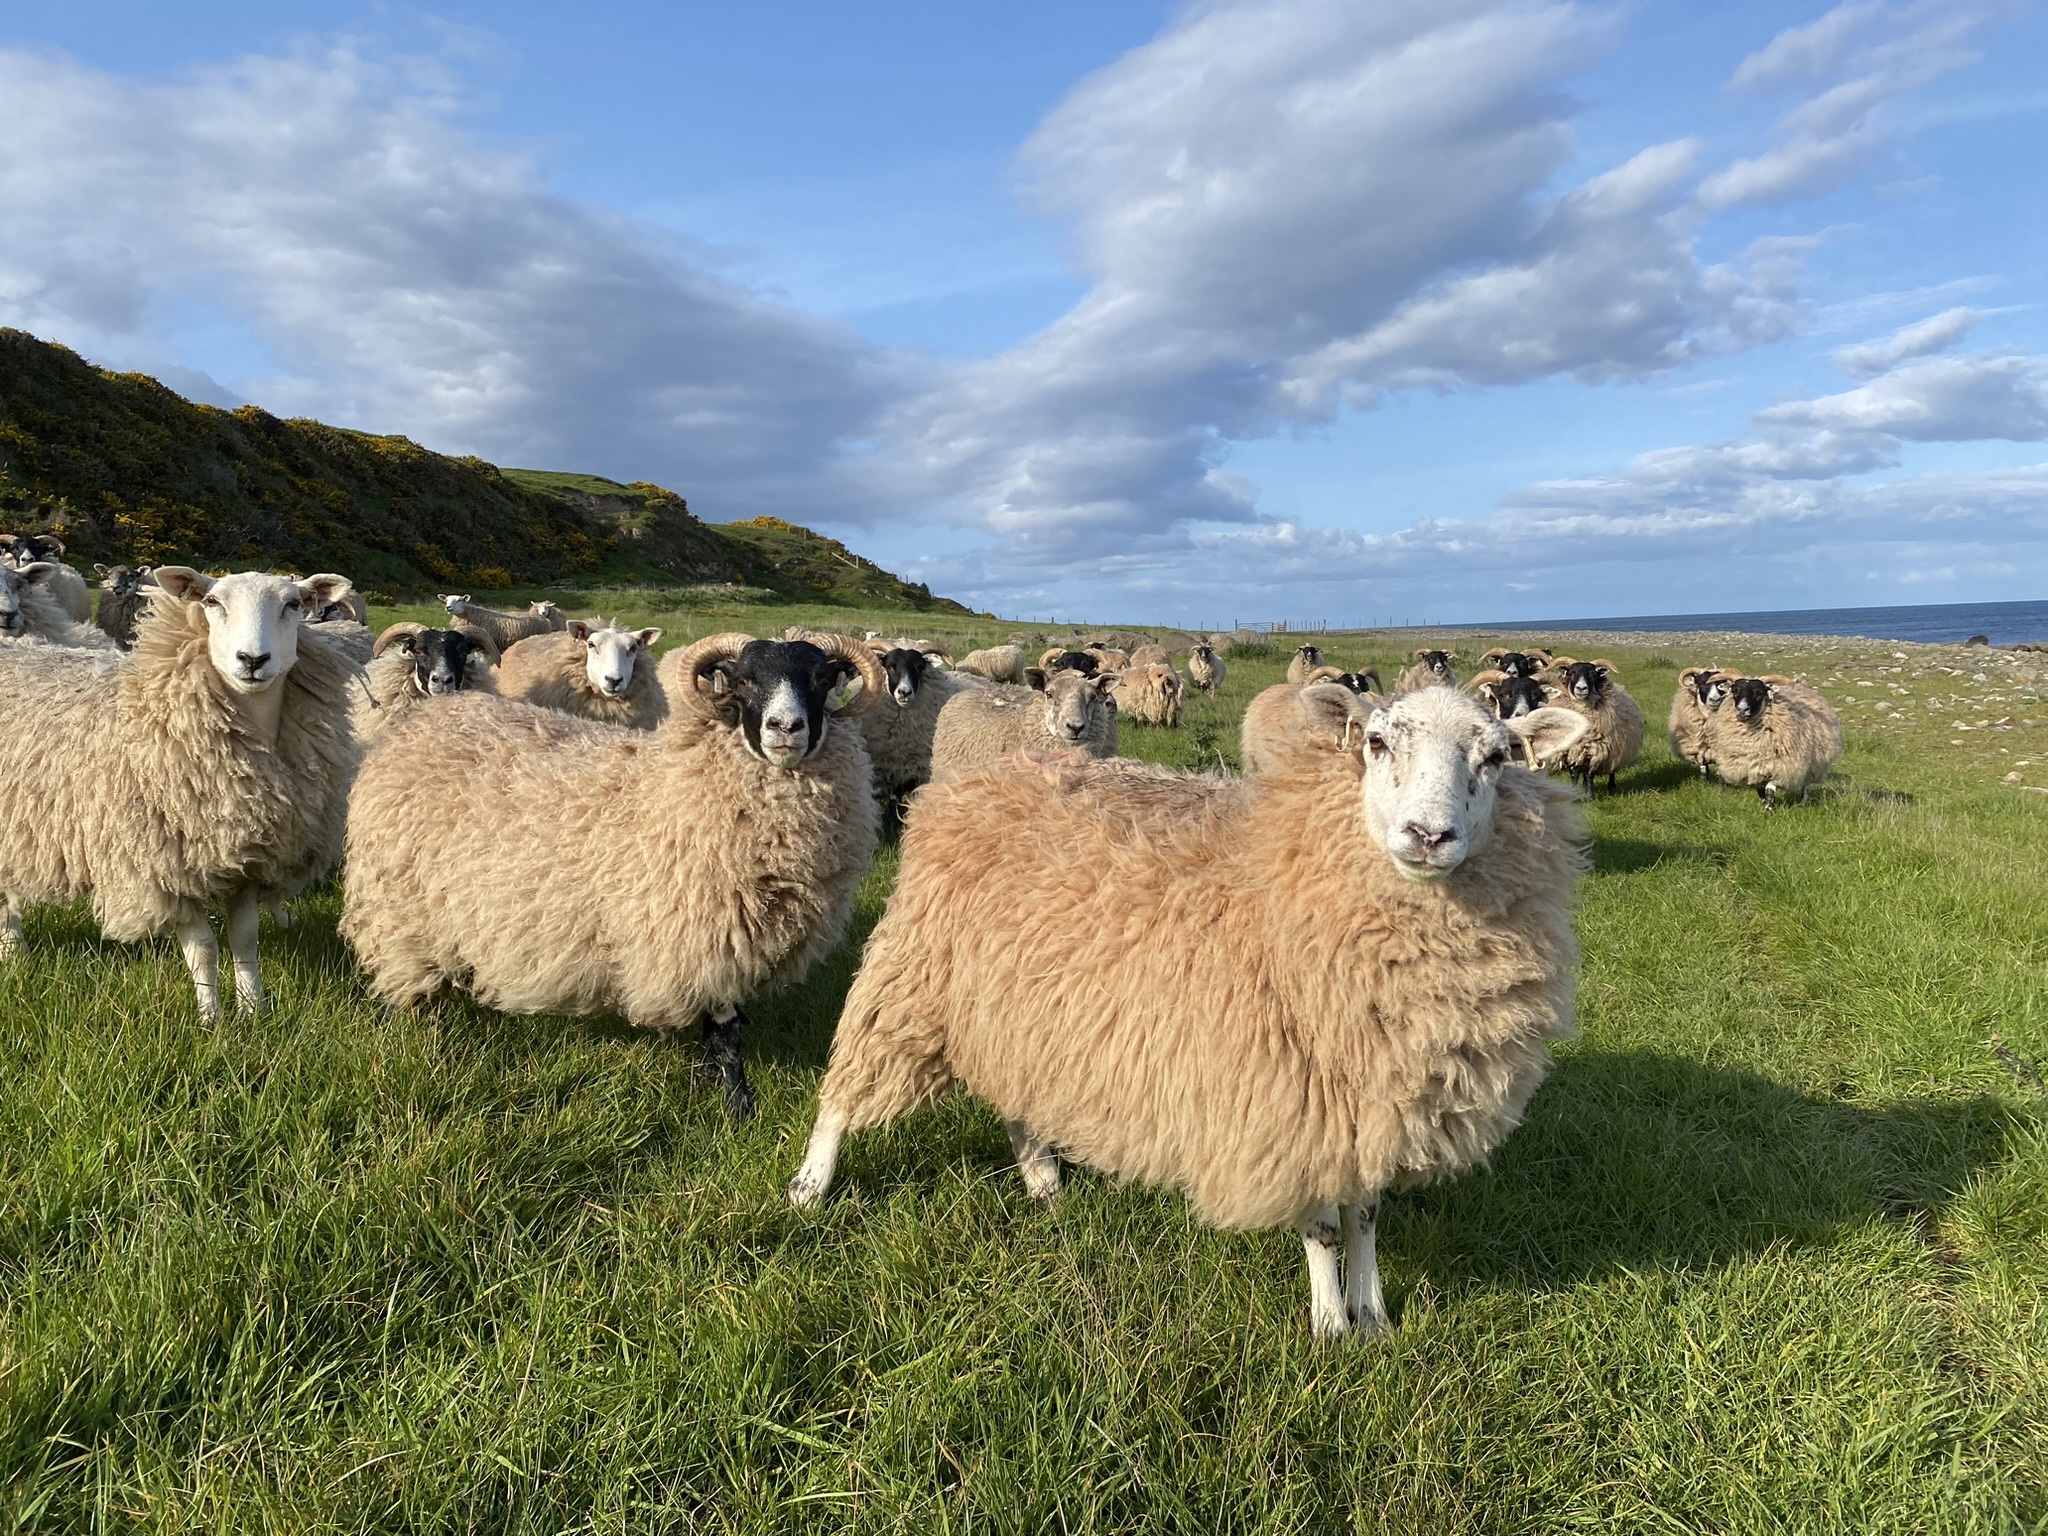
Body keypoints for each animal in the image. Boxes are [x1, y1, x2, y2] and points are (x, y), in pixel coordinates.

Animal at [0, 569, 359, 1017]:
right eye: (212, 603)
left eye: (293, 604)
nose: (252, 660)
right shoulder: (167, 867)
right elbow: (204, 948)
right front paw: (212, 1018)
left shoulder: (250, 860)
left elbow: (245, 940)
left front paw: (253, 1009)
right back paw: (13, 951)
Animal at [787, 687, 1592, 1339]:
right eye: (1375, 742)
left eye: (1497, 756)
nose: (1428, 837)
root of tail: (970, 782)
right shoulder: (1289, 1093)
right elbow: (1324, 1229)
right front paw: (1331, 1328)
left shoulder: (1369, 1093)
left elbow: (1364, 1214)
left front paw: (1375, 1319)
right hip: (916, 972)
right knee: (847, 1083)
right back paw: (809, 1186)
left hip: (1019, 998)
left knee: (1016, 1083)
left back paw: (1041, 1176)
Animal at [1533, 660, 1644, 793]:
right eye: (1571, 673)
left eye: (1593, 675)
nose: (1581, 688)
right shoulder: (1570, 751)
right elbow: (1574, 774)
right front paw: (1576, 792)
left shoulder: (1596, 751)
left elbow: (1590, 774)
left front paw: (1590, 795)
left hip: (1615, 749)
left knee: (1611, 769)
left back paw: (1611, 786)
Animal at [1713, 677, 1843, 808]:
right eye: (1734, 691)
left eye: (1759, 693)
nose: (1742, 710)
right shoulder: (1753, 769)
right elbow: (1760, 791)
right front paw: (1765, 803)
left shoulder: (1782, 767)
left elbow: (1769, 790)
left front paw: (1769, 808)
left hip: (1812, 765)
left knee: (1805, 784)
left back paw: (1803, 801)